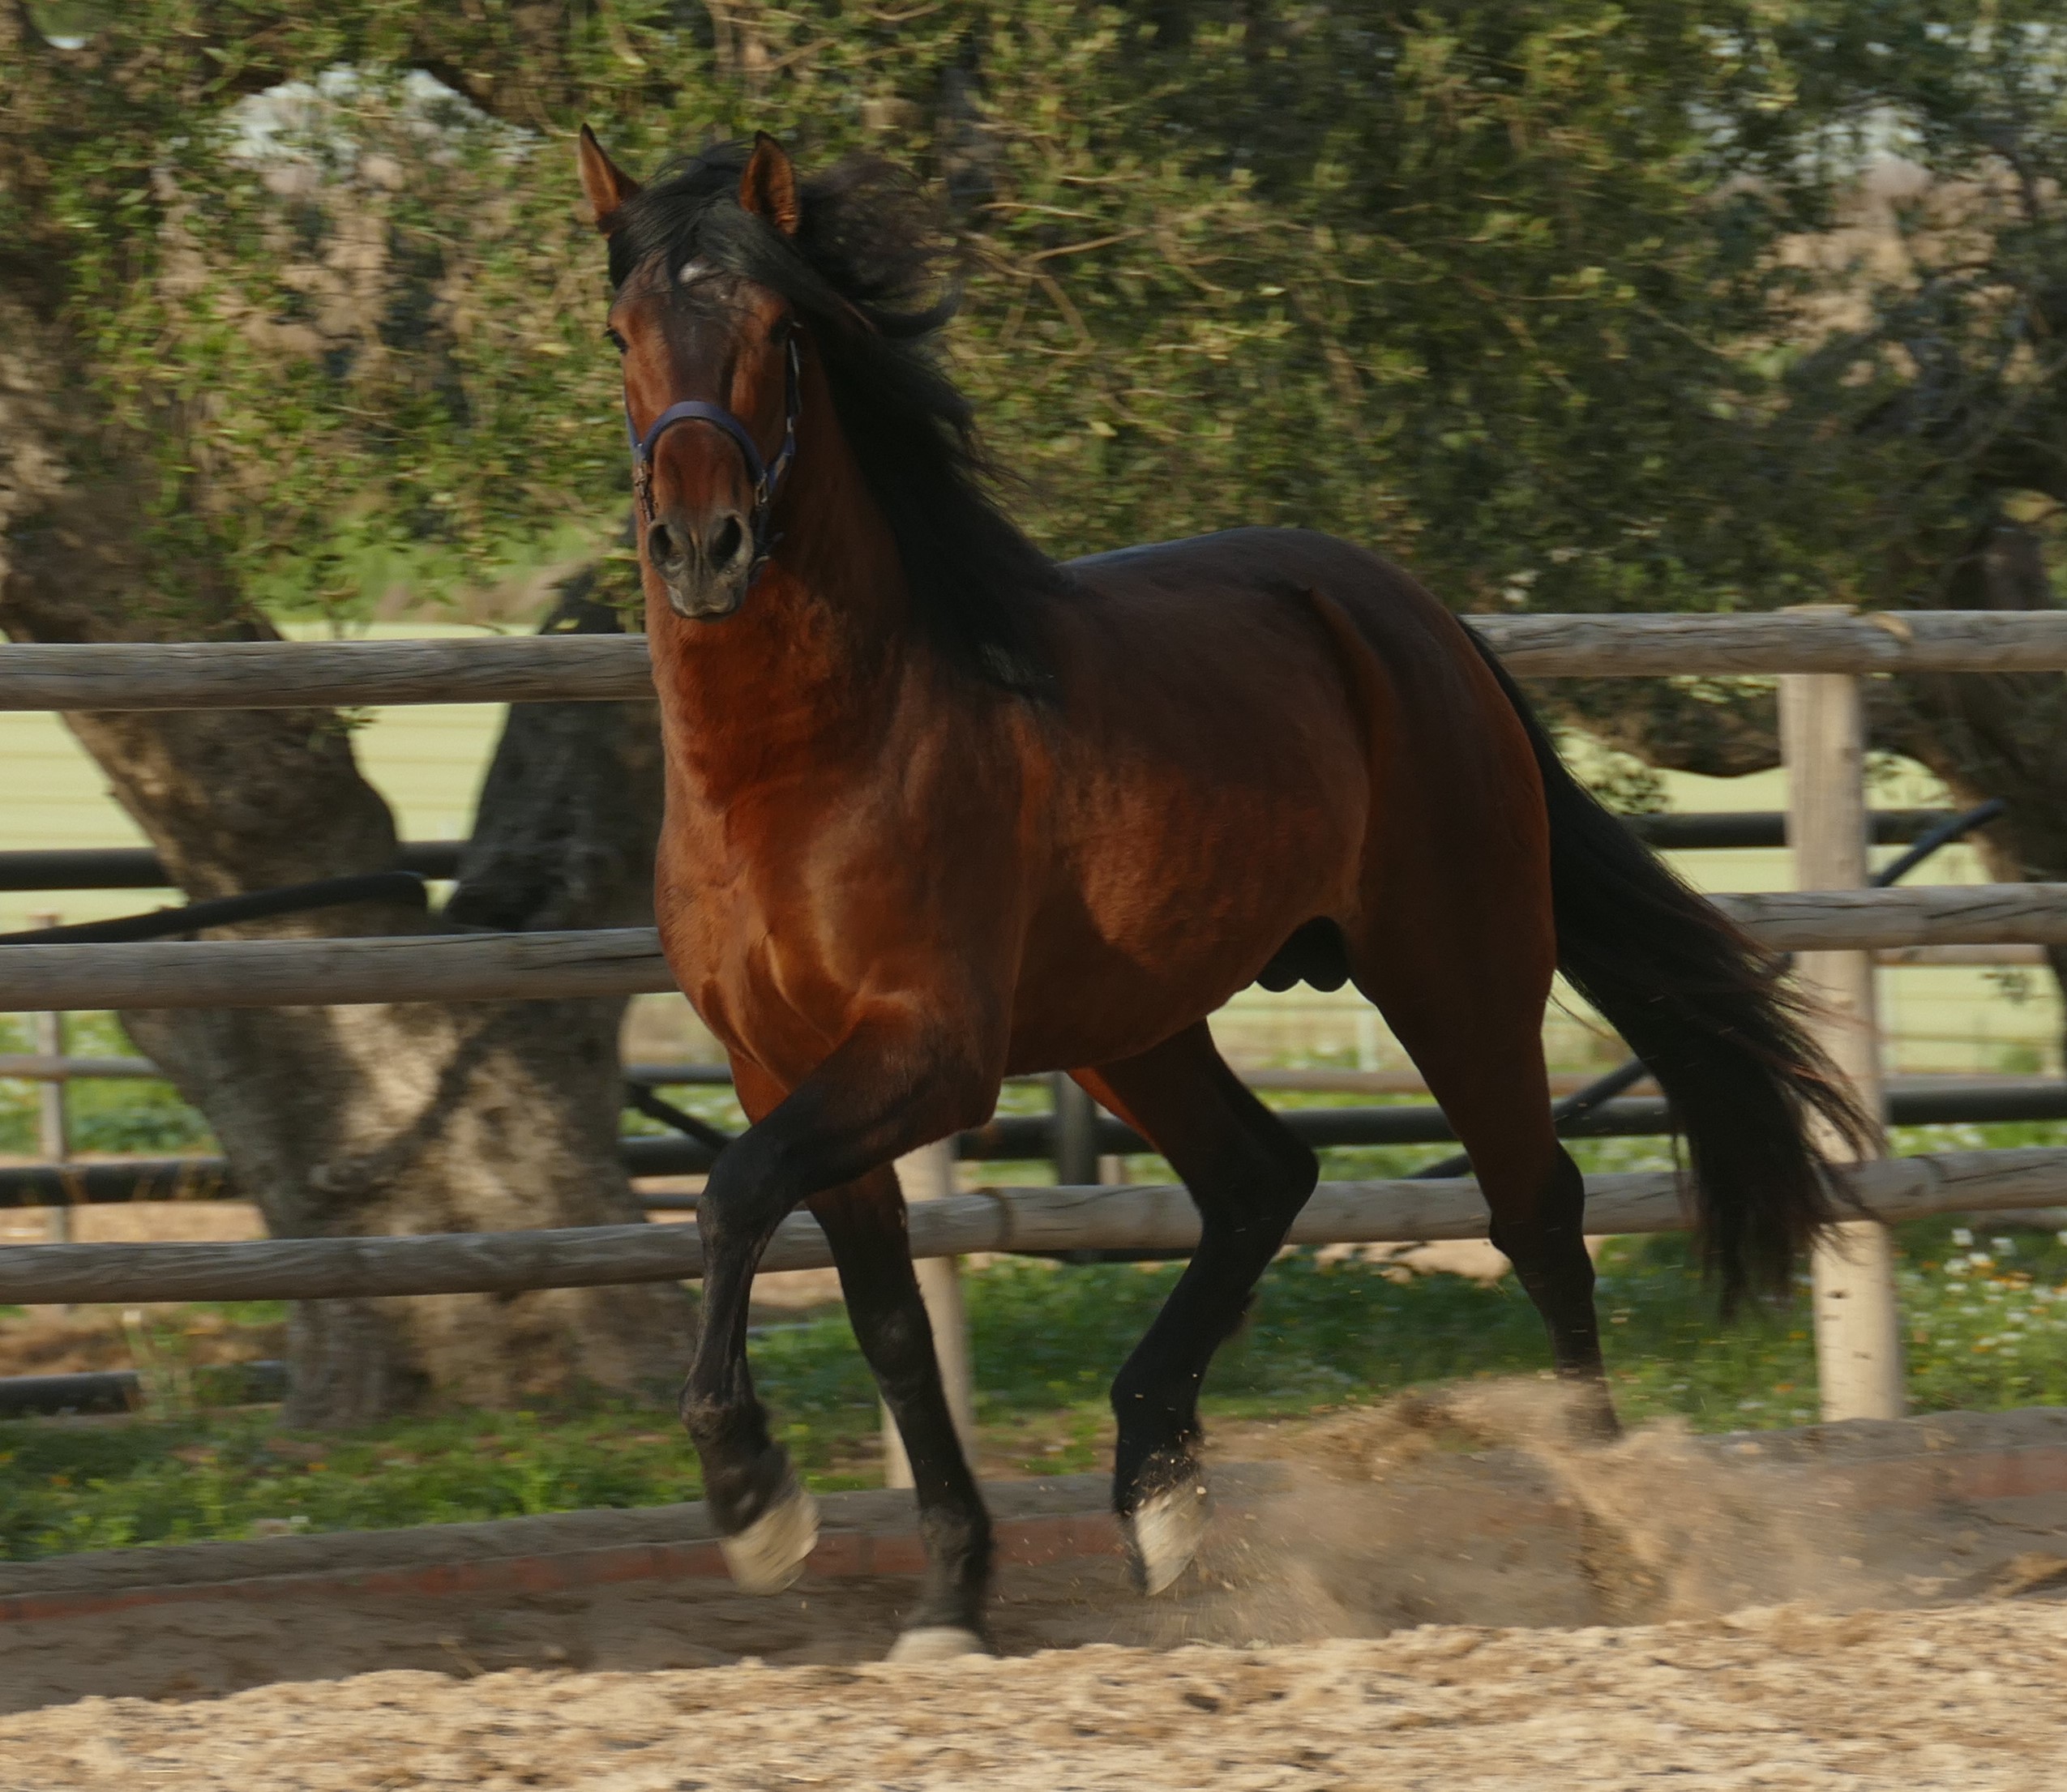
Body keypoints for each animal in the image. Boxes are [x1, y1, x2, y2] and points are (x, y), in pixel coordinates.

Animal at [575, 126, 1867, 1661]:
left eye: (778, 328)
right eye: (620, 332)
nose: (701, 543)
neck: (804, 761)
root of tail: (1418, 621)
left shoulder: (929, 1051)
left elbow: (726, 1197)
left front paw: (753, 1496)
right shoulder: (776, 1062)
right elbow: (879, 1310)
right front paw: (947, 1590)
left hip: (1453, 970)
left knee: (1536, 1215)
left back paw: (1617, 1541)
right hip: (1131, 1024)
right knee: (1265, 1176)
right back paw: (1157, 1485)